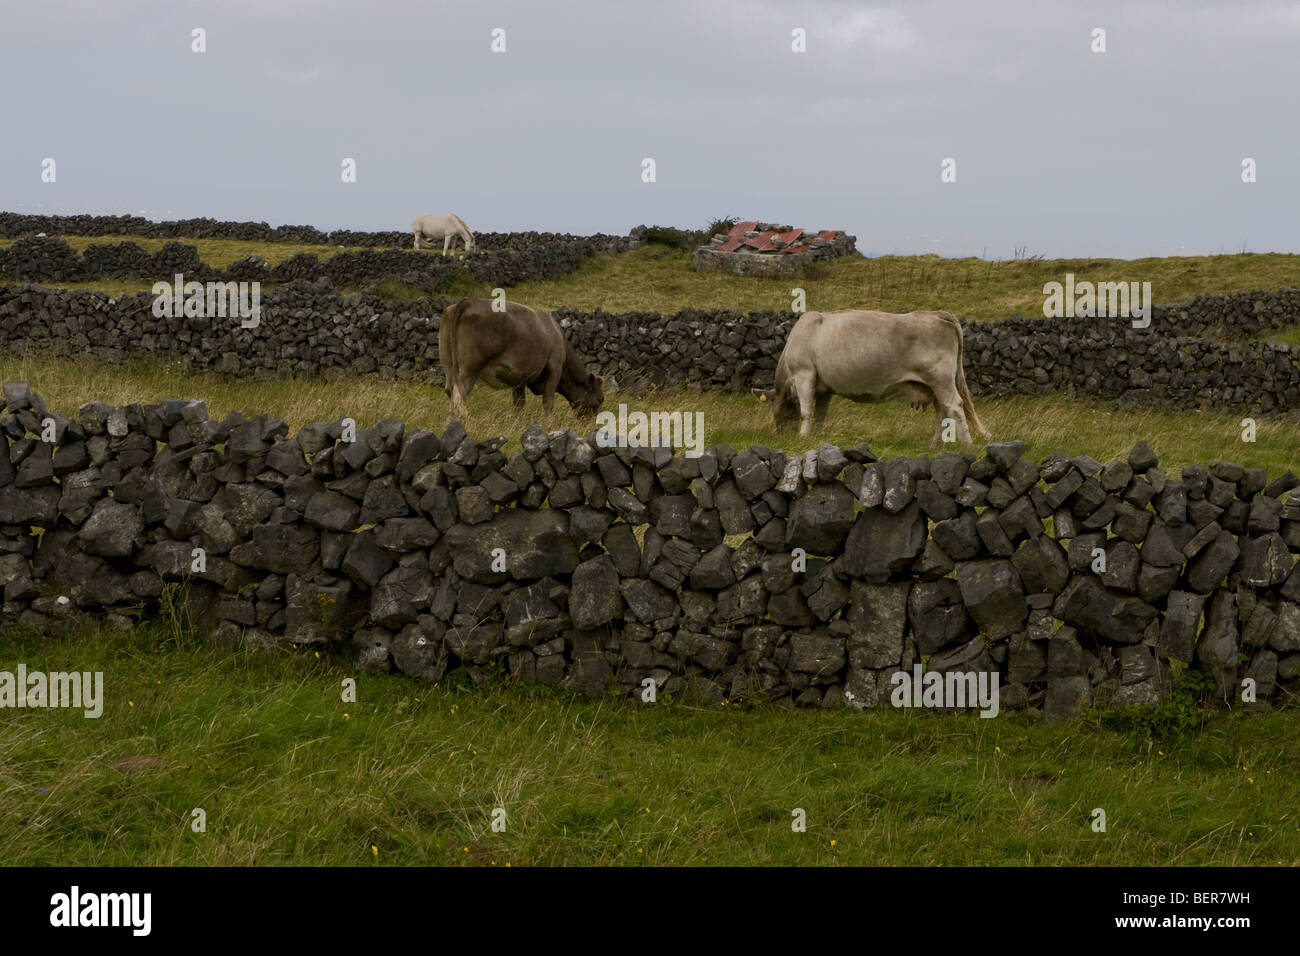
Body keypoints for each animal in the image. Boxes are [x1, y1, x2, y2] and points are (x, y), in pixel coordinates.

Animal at [438, 297, 604, 421]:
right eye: (599, 399)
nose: (591, 423)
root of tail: (467, 301)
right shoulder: (555, 367)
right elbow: (548, 401)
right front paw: (548, 423)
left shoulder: (519, 377)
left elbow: (519, 402)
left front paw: (517, 420)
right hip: (471, 367)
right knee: (459, 393)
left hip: (448, 362)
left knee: (449, 390)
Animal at [751, 309, 989, 447]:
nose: (782, 437)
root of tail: (937, 313)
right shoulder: (824, 388)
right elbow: (820, 414)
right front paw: (818, 438)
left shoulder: (804, 374)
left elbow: (806, 412)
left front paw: (803, 438)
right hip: (933, 384)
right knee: (942, 411)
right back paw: (935, 447)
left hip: (941, 378)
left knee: (955, 406)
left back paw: (967, 445)